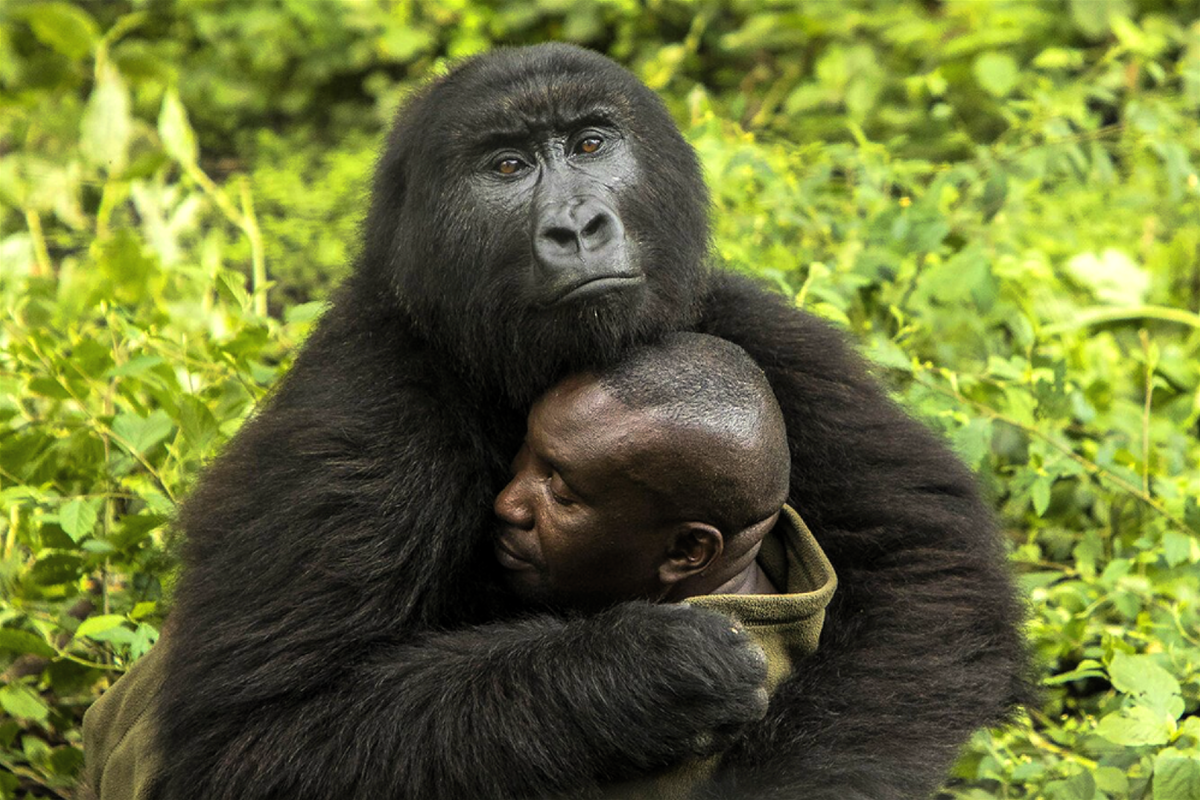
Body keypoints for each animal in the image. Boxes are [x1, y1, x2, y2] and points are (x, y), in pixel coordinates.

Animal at [154, 43, 1027, 800]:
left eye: (591, 144)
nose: (578, 227)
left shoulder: (762, 332)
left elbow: (930, 572)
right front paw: (645, 673)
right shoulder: (353, 418)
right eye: (507, 166)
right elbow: (263, 738)